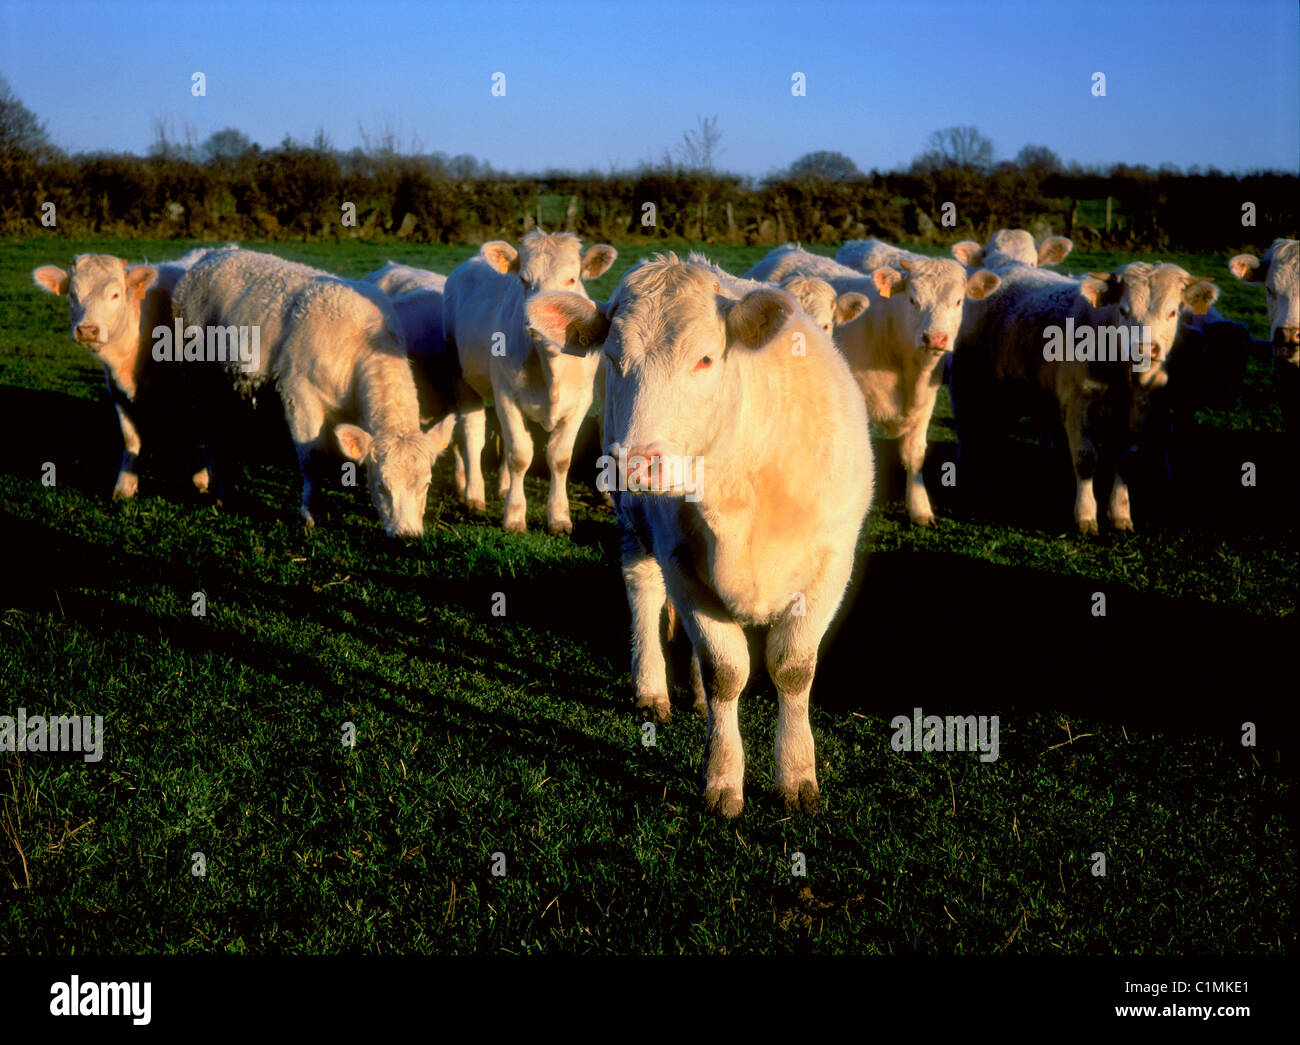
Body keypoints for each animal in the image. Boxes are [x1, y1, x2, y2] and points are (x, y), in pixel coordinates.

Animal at [32, 248, 217, 500]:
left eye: (115, 295)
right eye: (72, 294)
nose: (87, 330)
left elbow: (198, 434)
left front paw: (201, 479)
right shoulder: (117, 391)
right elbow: (131, 439)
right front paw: (125, 485)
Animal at [173, 247, 443, 537]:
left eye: (426, 484)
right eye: (382, 486)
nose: (407, 534)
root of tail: (213, 254)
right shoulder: (300, 394)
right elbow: (312, 457)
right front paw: (312, 512)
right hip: (196, 370)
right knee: (200, 423)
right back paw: (206, 480)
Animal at [442, 230, 617, 534]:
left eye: (572, 279)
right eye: (524, 279)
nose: (536, 322)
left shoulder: (581, 401)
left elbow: (559, 457)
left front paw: (559, 517)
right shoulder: (506, 393)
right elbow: (520, 454)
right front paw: (514, 516)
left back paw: (501, 486)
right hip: (461, 377)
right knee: (473, 435)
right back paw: (474, 495)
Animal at [525, 253, 872, 817]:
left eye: (706, 360)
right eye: (613, 359)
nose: (637, 463)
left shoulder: (830, 565)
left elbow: (793, 668)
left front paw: (797, 774)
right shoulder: (680, 559)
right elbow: (725, 669)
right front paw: (723, 777)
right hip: (635, 528)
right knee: (644, 593)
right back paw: (653, 687)